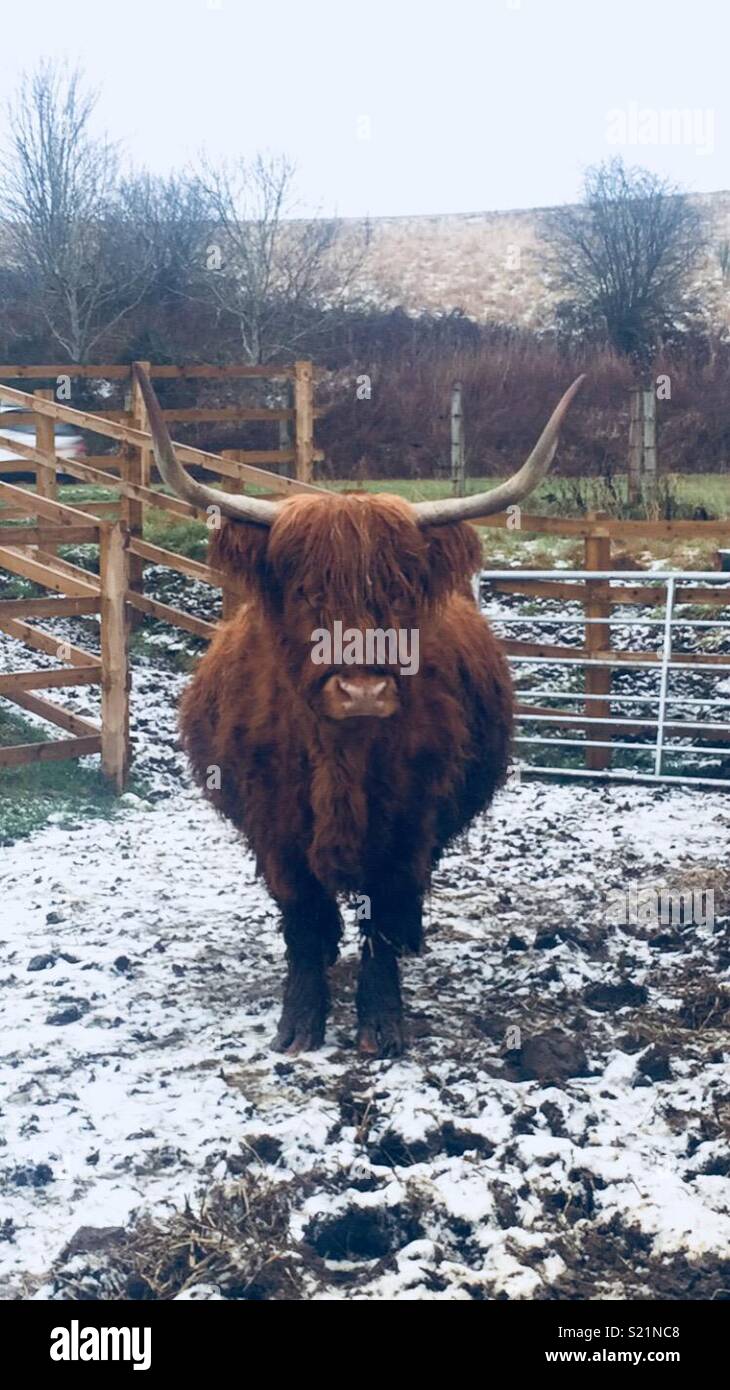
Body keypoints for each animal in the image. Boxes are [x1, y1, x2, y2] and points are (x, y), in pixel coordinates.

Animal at [133, 366, 584, 1057]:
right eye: (304, 591)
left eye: (397, 594)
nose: (363, 692)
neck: (340, 758)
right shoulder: (276, 826)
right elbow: (301, 917)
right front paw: (299, 1023)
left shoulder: (408, 821)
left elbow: (386, 911)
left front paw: (379, 1023)